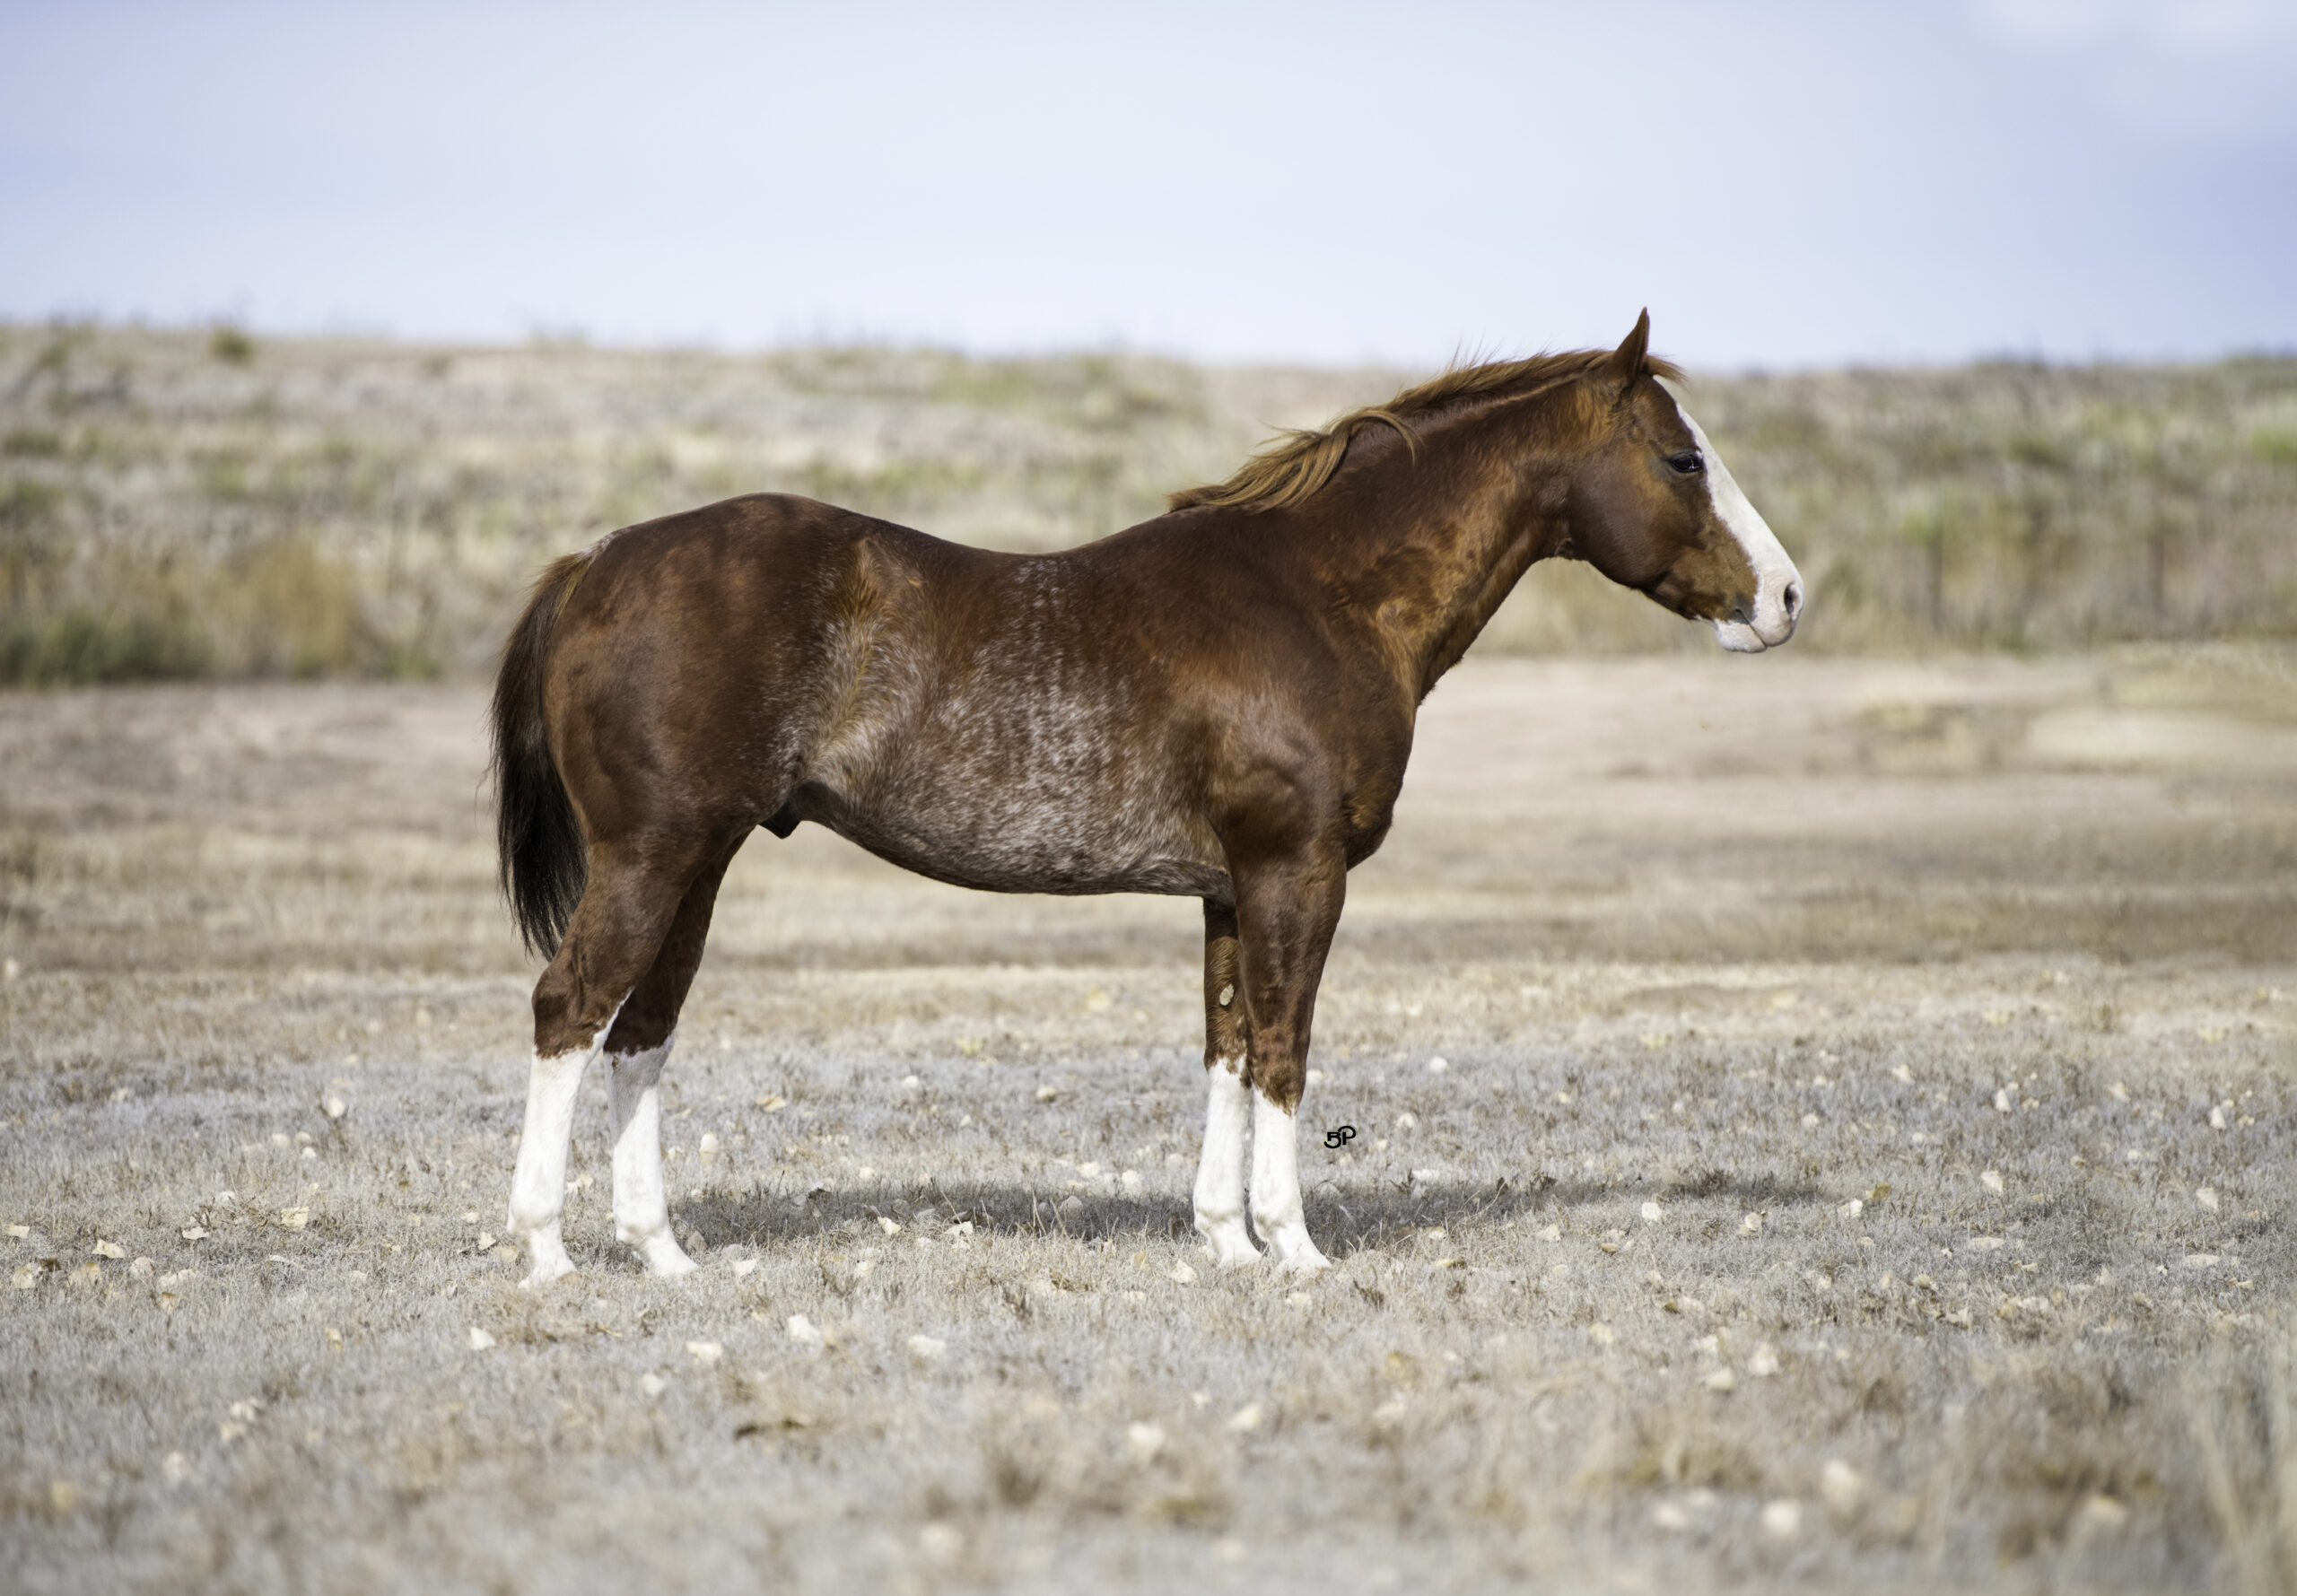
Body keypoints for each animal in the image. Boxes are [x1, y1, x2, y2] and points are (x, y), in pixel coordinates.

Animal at [490, 310, 1803, 1286]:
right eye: (1682, 459)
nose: (1786, 596)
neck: (1320, 595)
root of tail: (594, 564)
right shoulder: (1294, 873)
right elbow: (1283, 1051)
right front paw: (1296, 1247)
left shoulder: (1228, 890)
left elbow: (1227, 1046)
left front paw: (1227, 1239)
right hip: (655, 857)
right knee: (571, 1007)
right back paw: (547, 1252)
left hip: (698, 863)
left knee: (640, 1030)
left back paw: (662, 1253)